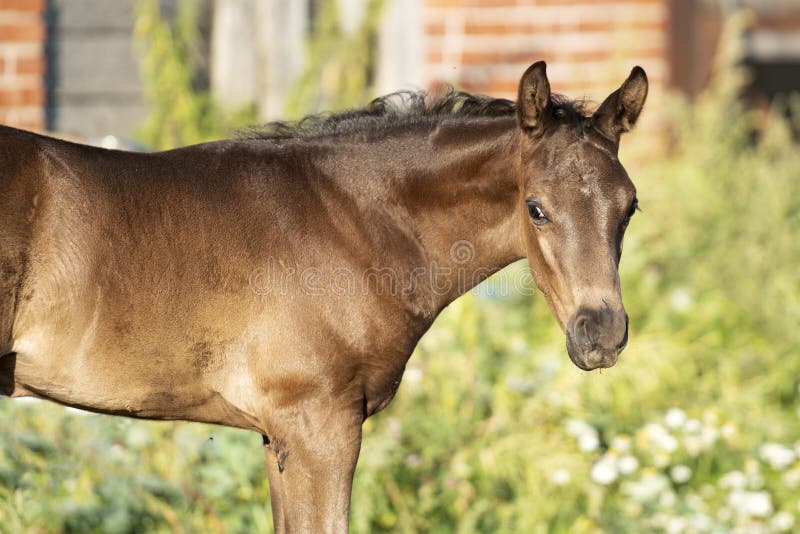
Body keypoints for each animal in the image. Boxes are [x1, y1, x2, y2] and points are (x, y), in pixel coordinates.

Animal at [0, 61, 647, 532]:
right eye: (536, 208)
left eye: (631, 207)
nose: (601, 334)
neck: (350, 218)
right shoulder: (319, 423)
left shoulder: (278, 435)